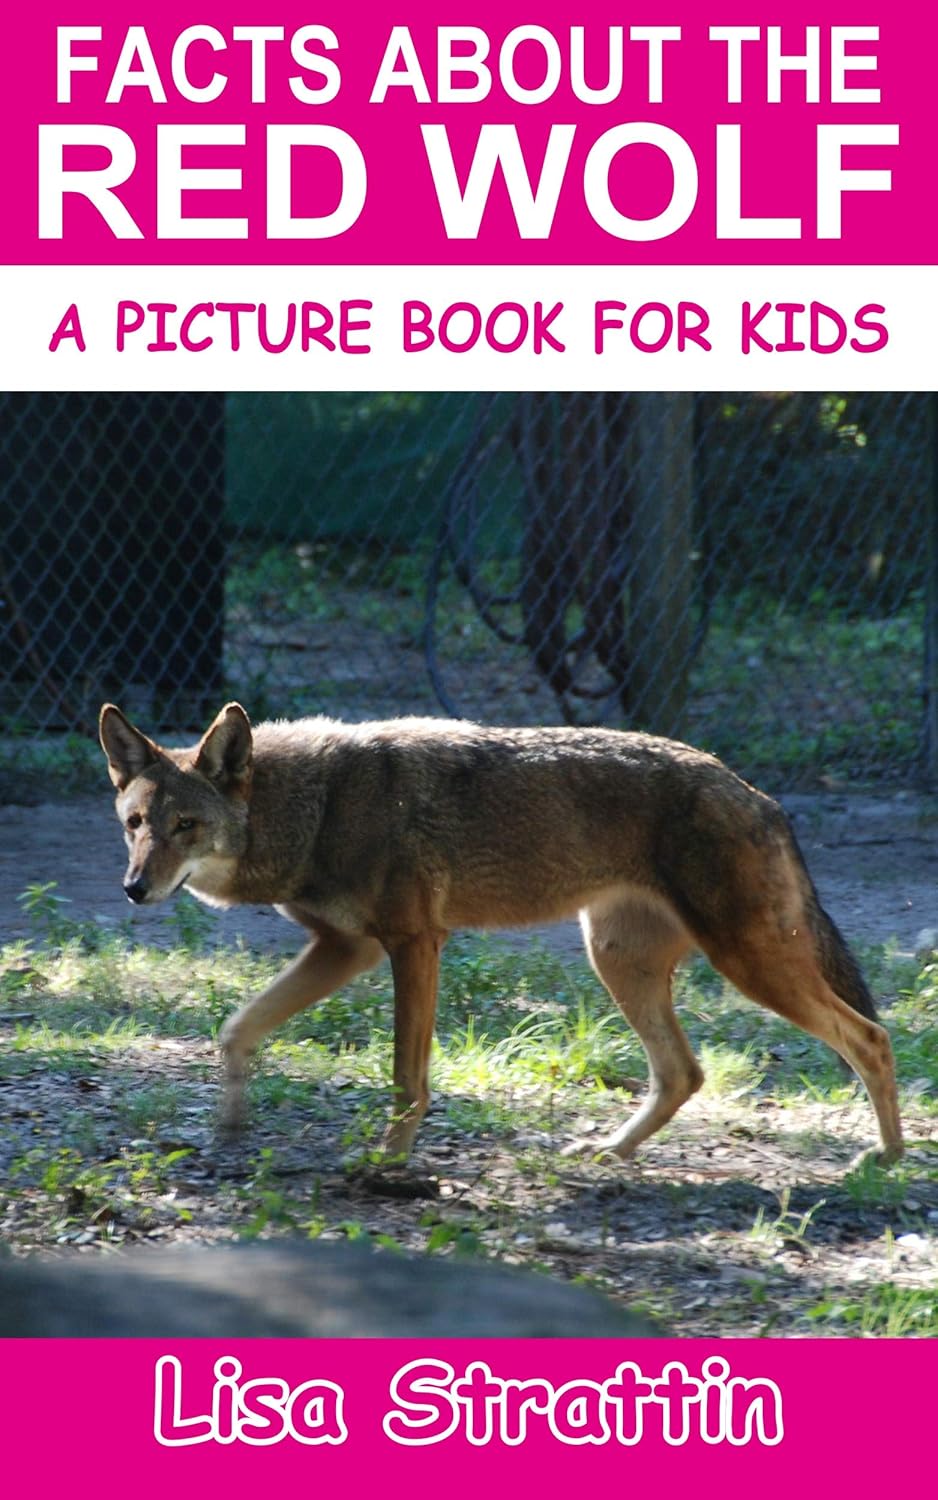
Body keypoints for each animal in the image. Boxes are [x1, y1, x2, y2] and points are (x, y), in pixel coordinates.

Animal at [99, 702, 902, 1167]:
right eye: (135, 824)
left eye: (186, 825)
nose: (134, 888)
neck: (316, 806)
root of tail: (758, 793)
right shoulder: (347, 949)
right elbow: (236, 1030)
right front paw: (230, 1128)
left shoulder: (411, 945)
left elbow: (406, 1080)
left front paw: (388, 1165)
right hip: (620, 964)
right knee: (684, 1073)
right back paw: (607, 1152)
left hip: (748, 964)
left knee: (871, 1038)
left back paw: (886, 1161)